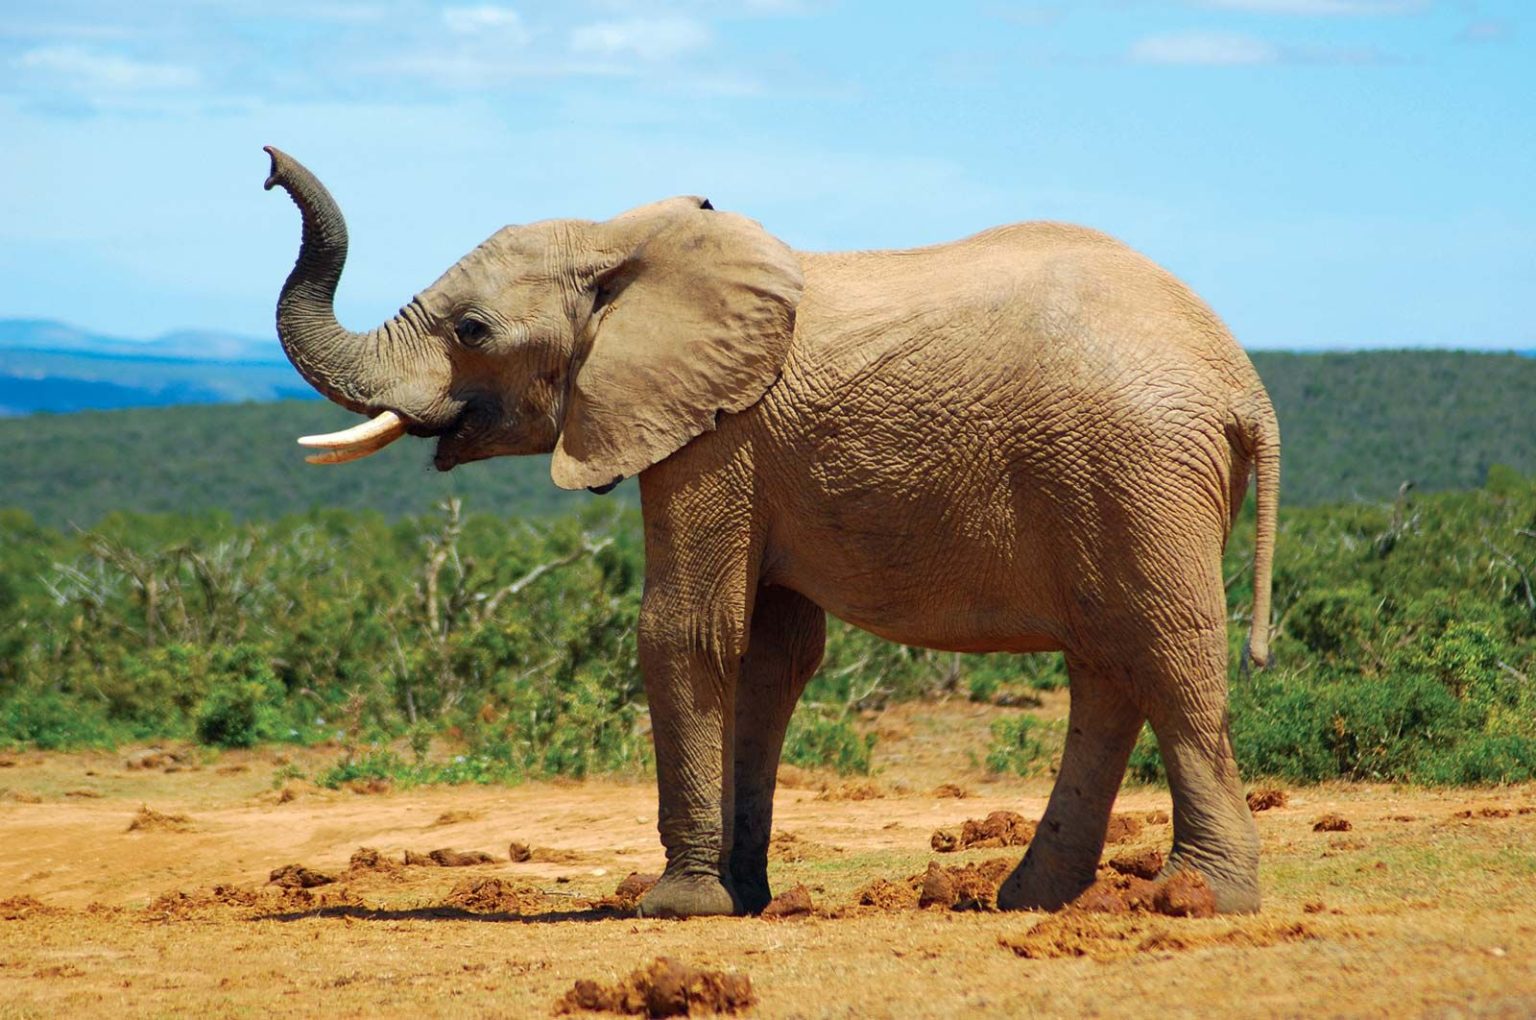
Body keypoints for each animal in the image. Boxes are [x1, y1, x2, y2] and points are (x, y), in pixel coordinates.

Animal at [261, 146, 1279, 917]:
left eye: (472, 330)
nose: (268, 167)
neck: (623, 242)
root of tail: (1245, 386)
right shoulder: (745, 446)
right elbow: (768, 654)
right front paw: (738, 899)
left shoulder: (716, 434)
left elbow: (685, 632)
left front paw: (673, 908)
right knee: (1106, 664)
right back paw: (1031, 899)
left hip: (1138, 471)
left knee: (1163, 649)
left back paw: (1196, 900)